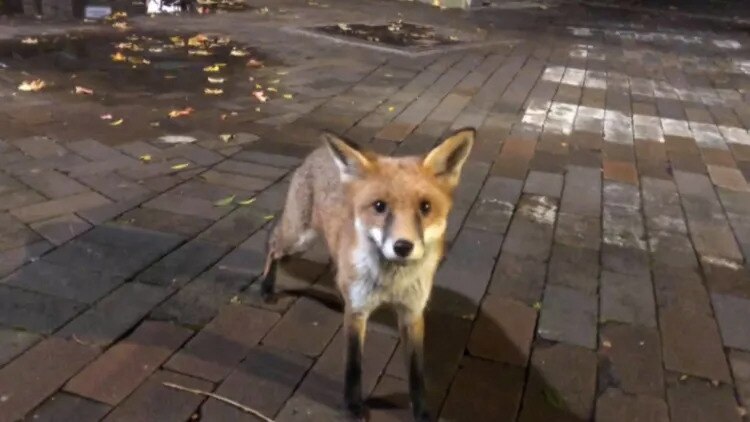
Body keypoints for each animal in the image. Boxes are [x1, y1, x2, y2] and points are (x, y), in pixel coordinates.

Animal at [260, 128, 475, 421]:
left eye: (426, 207)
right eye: (380, 206)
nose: (402, 247)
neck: (391, 283)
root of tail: (318, 153)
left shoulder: (412, 312)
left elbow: (416, 372)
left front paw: (422, 411)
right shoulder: (359, 312)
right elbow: (354, 366)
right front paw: (352, 406)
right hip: (299, 237)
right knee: (272, 244)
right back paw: (266, 288)